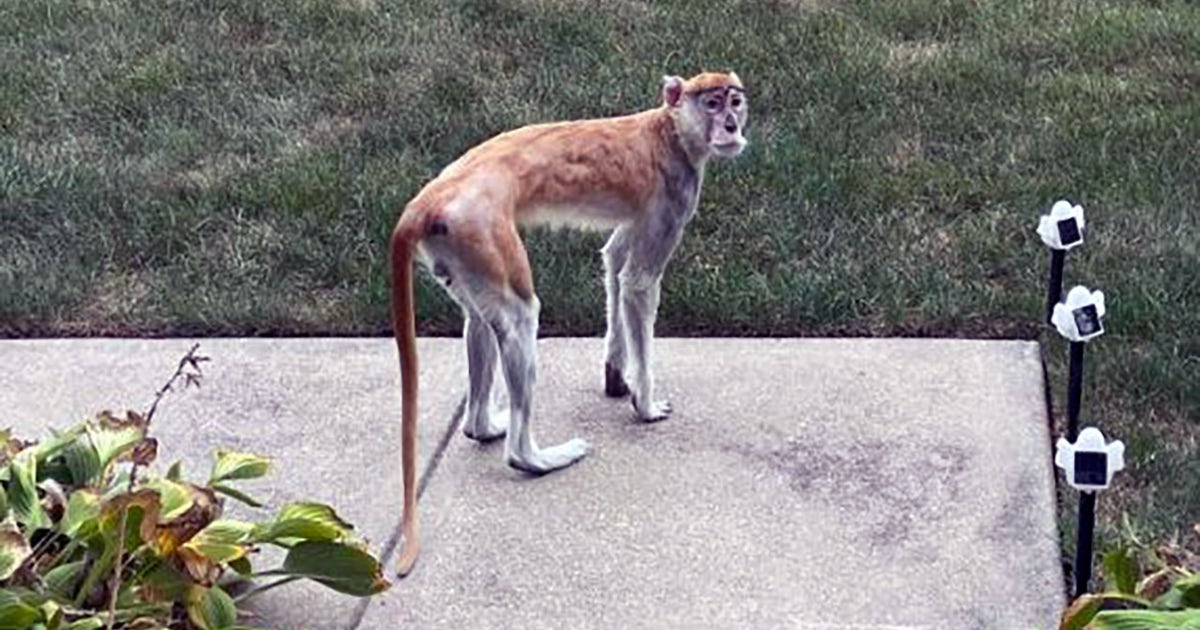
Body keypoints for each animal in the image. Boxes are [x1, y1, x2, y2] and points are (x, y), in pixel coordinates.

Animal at [389, 71, 748, 576]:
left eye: (735, 100)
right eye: (712, 104)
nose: (732, 125)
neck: (670, 129)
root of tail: (429, 201)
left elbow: (615, 261)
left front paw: (616, 374)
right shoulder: (674, 194)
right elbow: (638, 283)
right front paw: (645, 403)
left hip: (456, 247)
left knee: (479, 321)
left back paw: (483, 425)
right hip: (481, 231)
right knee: (520, 316)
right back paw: (533, 457)